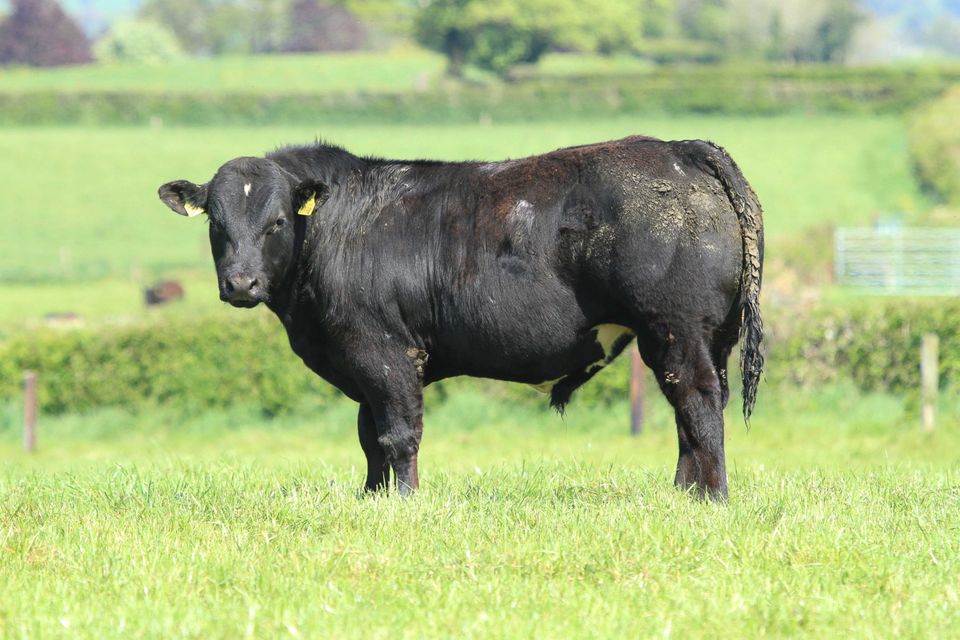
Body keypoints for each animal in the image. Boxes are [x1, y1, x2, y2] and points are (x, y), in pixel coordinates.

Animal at [157, 135, 763, 501]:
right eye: (215, 222)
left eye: (278, 221)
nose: (240, 283)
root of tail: (679, 148)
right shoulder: (361, 365)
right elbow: (369, 436)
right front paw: (372, 498)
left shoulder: (382, 353)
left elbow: (398, 434)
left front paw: (404, 500)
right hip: (707, 337)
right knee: (693, 413)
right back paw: (685, 493)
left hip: (676, 330)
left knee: (698, 405)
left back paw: (709, 498)